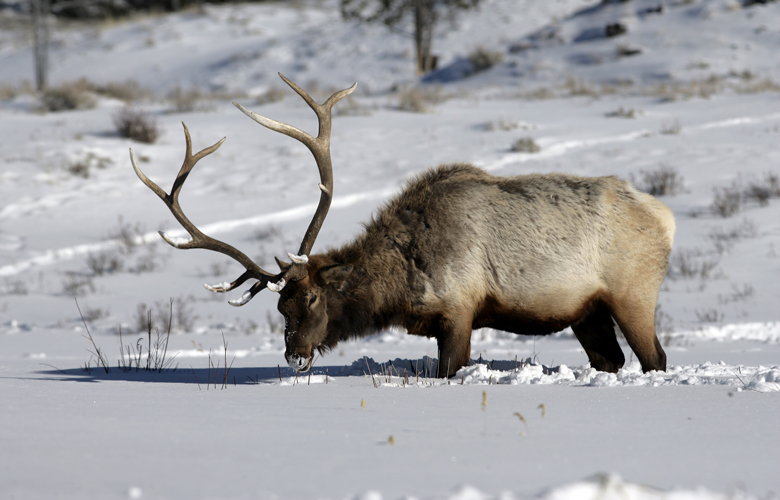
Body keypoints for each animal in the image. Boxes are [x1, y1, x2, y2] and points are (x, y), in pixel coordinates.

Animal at [131, 74, 675, 378]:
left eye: (313, 298)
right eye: (280, 306)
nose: (296, 355)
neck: (402, 283)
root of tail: (666, 218)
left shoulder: (459, 311)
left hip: (633, 293)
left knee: (656, 358)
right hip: (587, 310)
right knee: (611, 360)